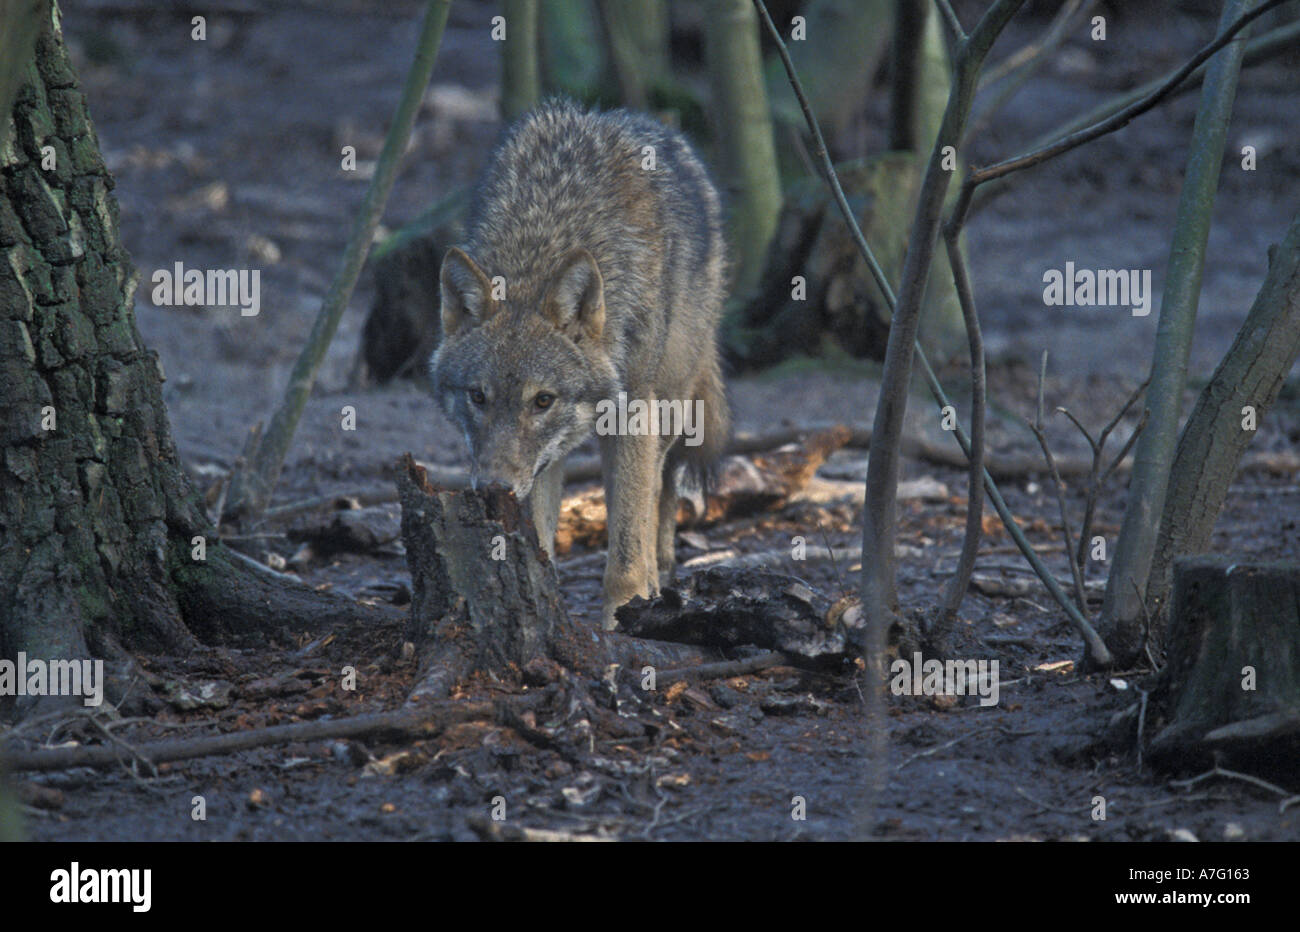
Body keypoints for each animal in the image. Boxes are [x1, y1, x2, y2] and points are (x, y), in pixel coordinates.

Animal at [430, 98, 729, 630]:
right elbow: (542, 540)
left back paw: (657, 578)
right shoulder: (537, 465)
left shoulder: (634, 415)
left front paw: (623, 619)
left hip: (668, 403)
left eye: (543, 400)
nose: (492, 489)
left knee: (657, 490)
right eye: (478, 396)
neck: (545, 234)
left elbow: (626, 548)